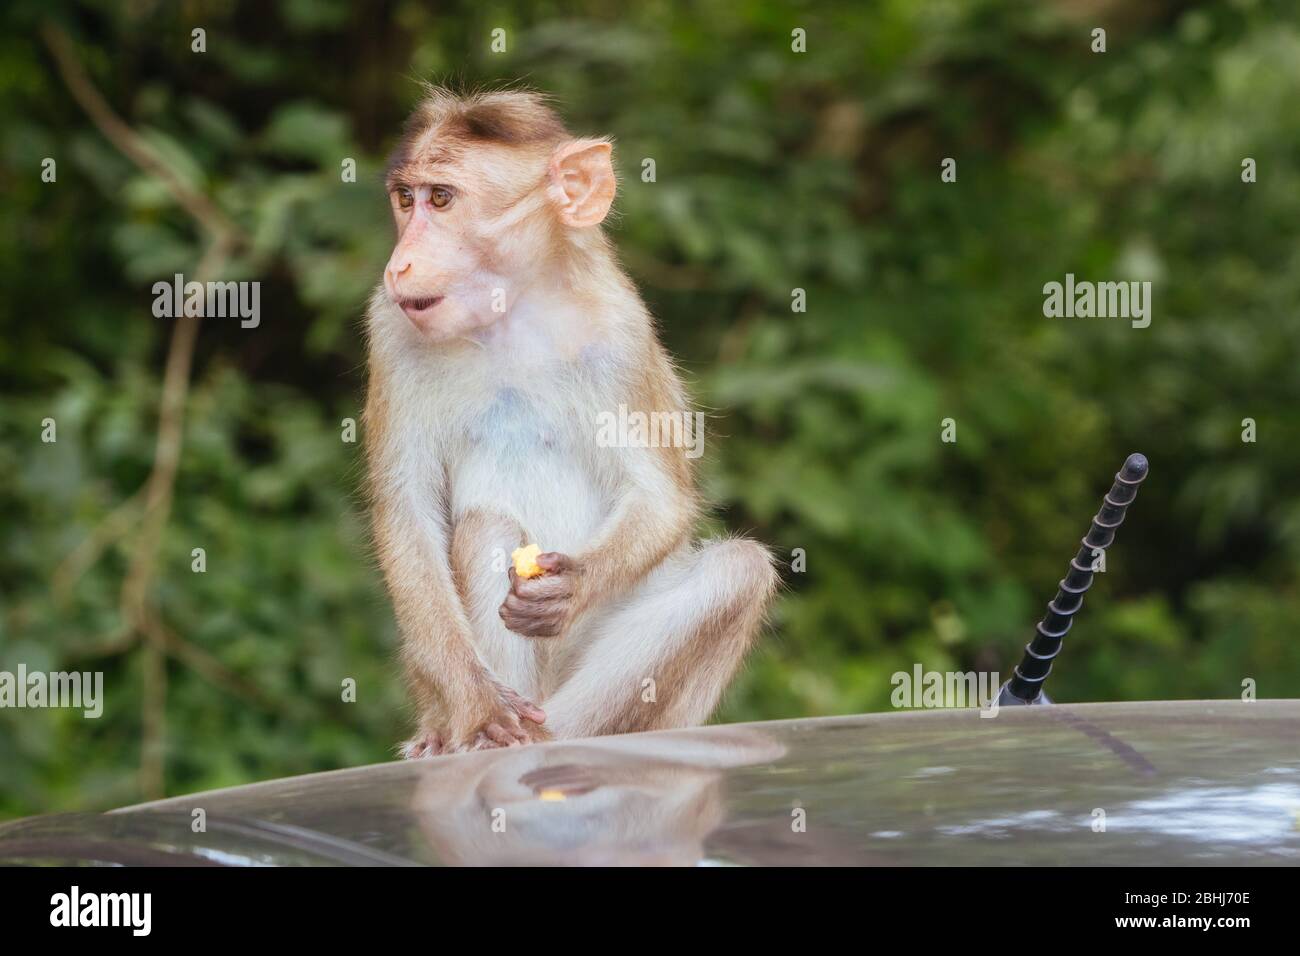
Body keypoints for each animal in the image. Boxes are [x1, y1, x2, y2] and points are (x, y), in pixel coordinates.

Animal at [363, 87, 778, 757]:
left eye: (442, 199)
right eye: (407, 199)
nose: (399, 265)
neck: (510, 316)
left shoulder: (621, 332)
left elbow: (660, 497)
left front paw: (575, 585)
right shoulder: (389, 330)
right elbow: (409, 511)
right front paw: (477, 704)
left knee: (738, 569)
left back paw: (567, 736)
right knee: (486, 525)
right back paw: (484, 734)